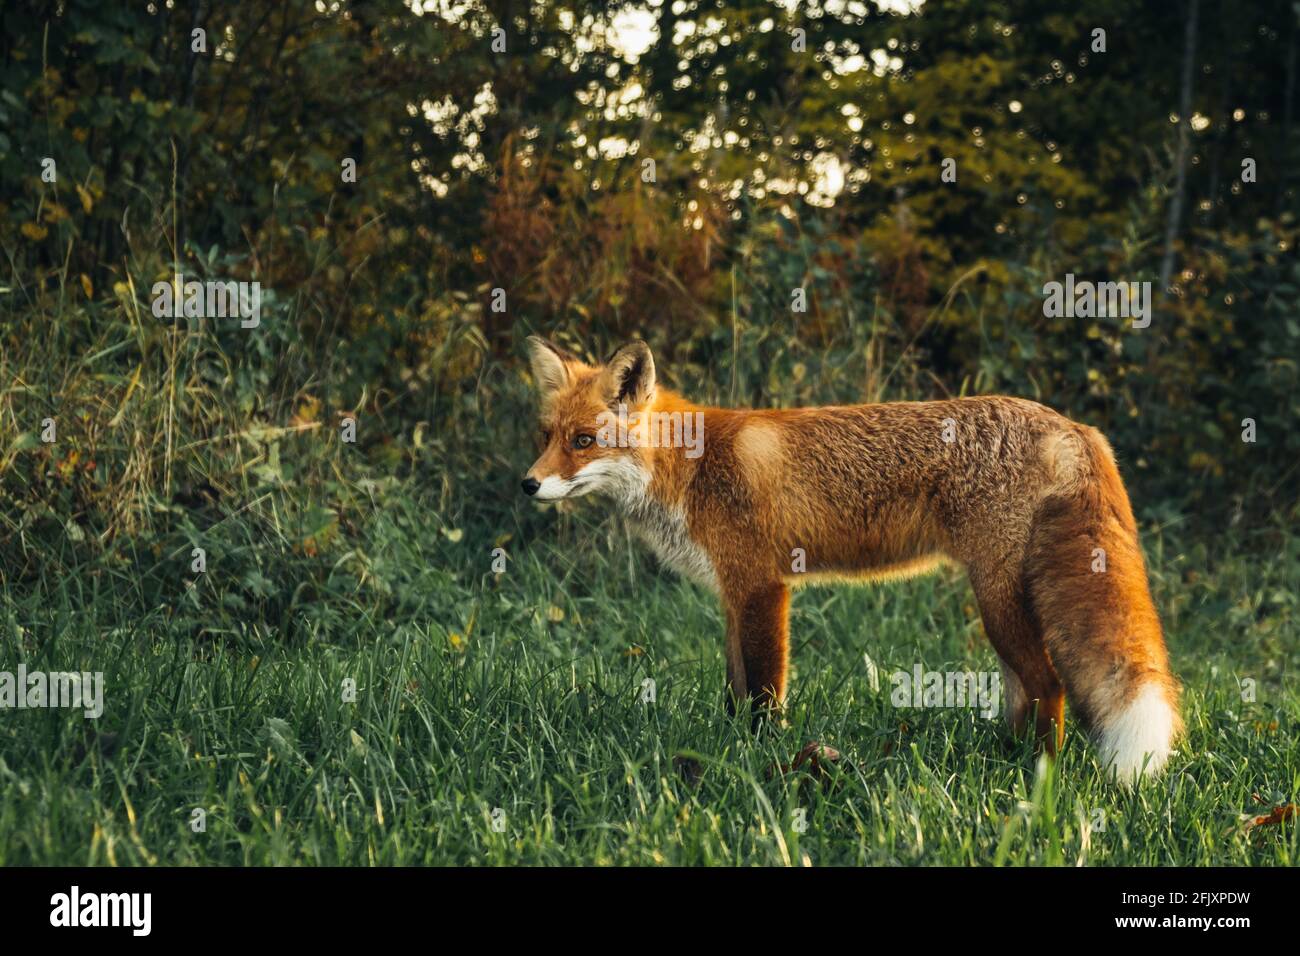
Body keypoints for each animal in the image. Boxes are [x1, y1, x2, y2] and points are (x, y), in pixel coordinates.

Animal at [521, 336, 1183, 783]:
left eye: (584, 441)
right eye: (546, 436)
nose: (527, 484)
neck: (693, 466)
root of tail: (1075, 427)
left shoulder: (762, 585)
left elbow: (764, 692)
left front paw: (763, 757)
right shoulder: (733, 592)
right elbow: (735, 689)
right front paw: (729, 744)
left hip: (998, 597)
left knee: (1048, 685)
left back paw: (1035, 778)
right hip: (1003, 602)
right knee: (1026, 688)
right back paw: (1005, 758)